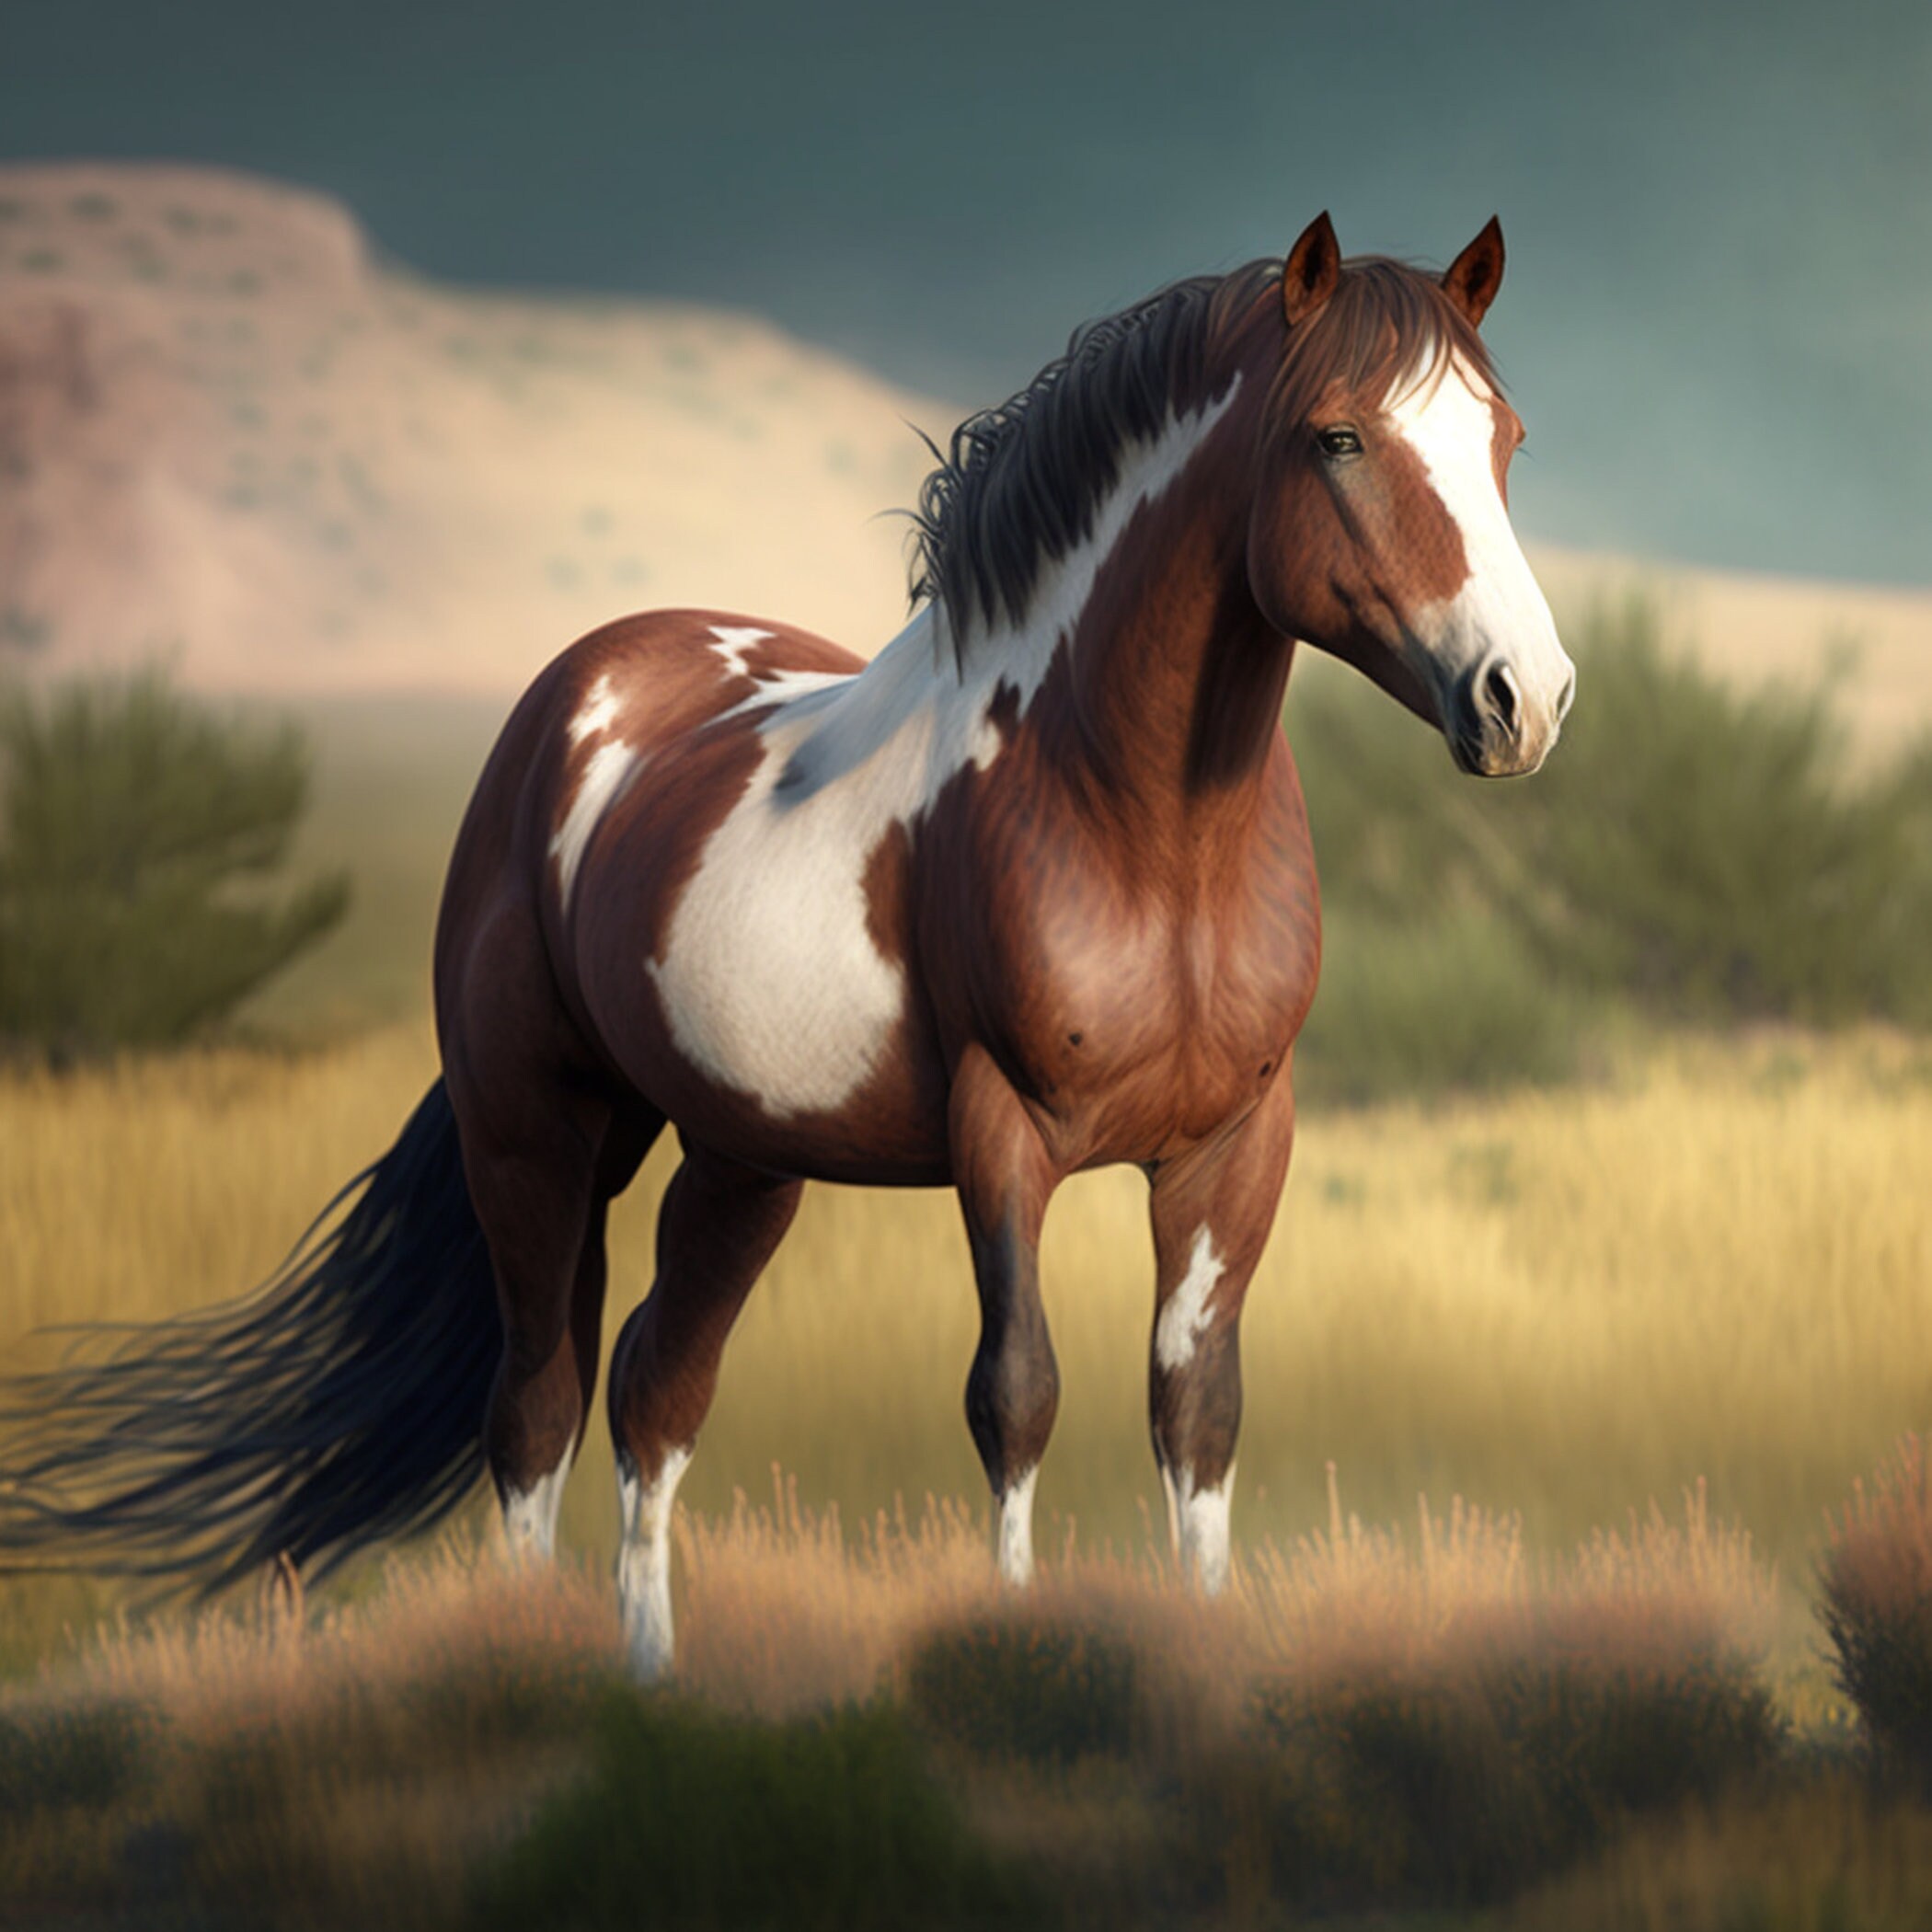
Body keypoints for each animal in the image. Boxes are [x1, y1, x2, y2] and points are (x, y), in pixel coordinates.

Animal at [0, 214, 1573, 1680]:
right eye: (1338, 437)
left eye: (1505, 438)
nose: (1527, 698)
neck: (1131, 821)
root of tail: (570, 694)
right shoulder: (1003, 1133)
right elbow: (1016, 1394)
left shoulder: (1233, 1145)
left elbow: (1197, 1412)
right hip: (535, 1131)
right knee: (538, 1403)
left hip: (737, 1161)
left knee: (655, 1387)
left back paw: (650, 1686)